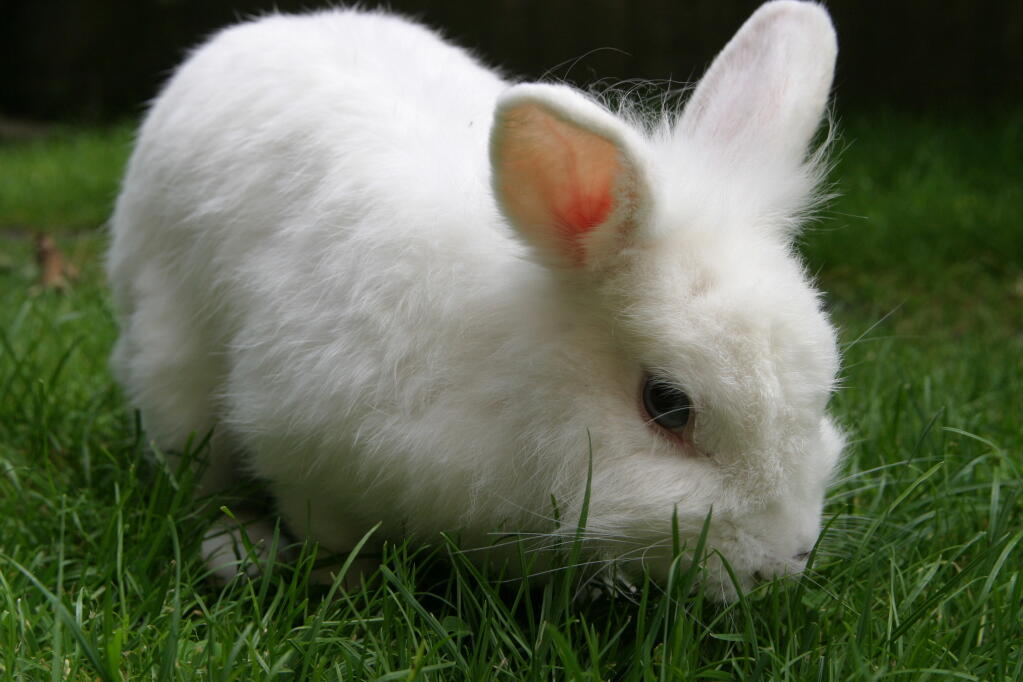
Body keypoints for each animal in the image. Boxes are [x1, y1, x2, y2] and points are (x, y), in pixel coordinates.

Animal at [107, 0, 844, 601]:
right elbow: (324, 524)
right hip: (171, 360)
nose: (781, 565)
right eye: (666, 405)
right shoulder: (296, 437)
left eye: (821, 396)